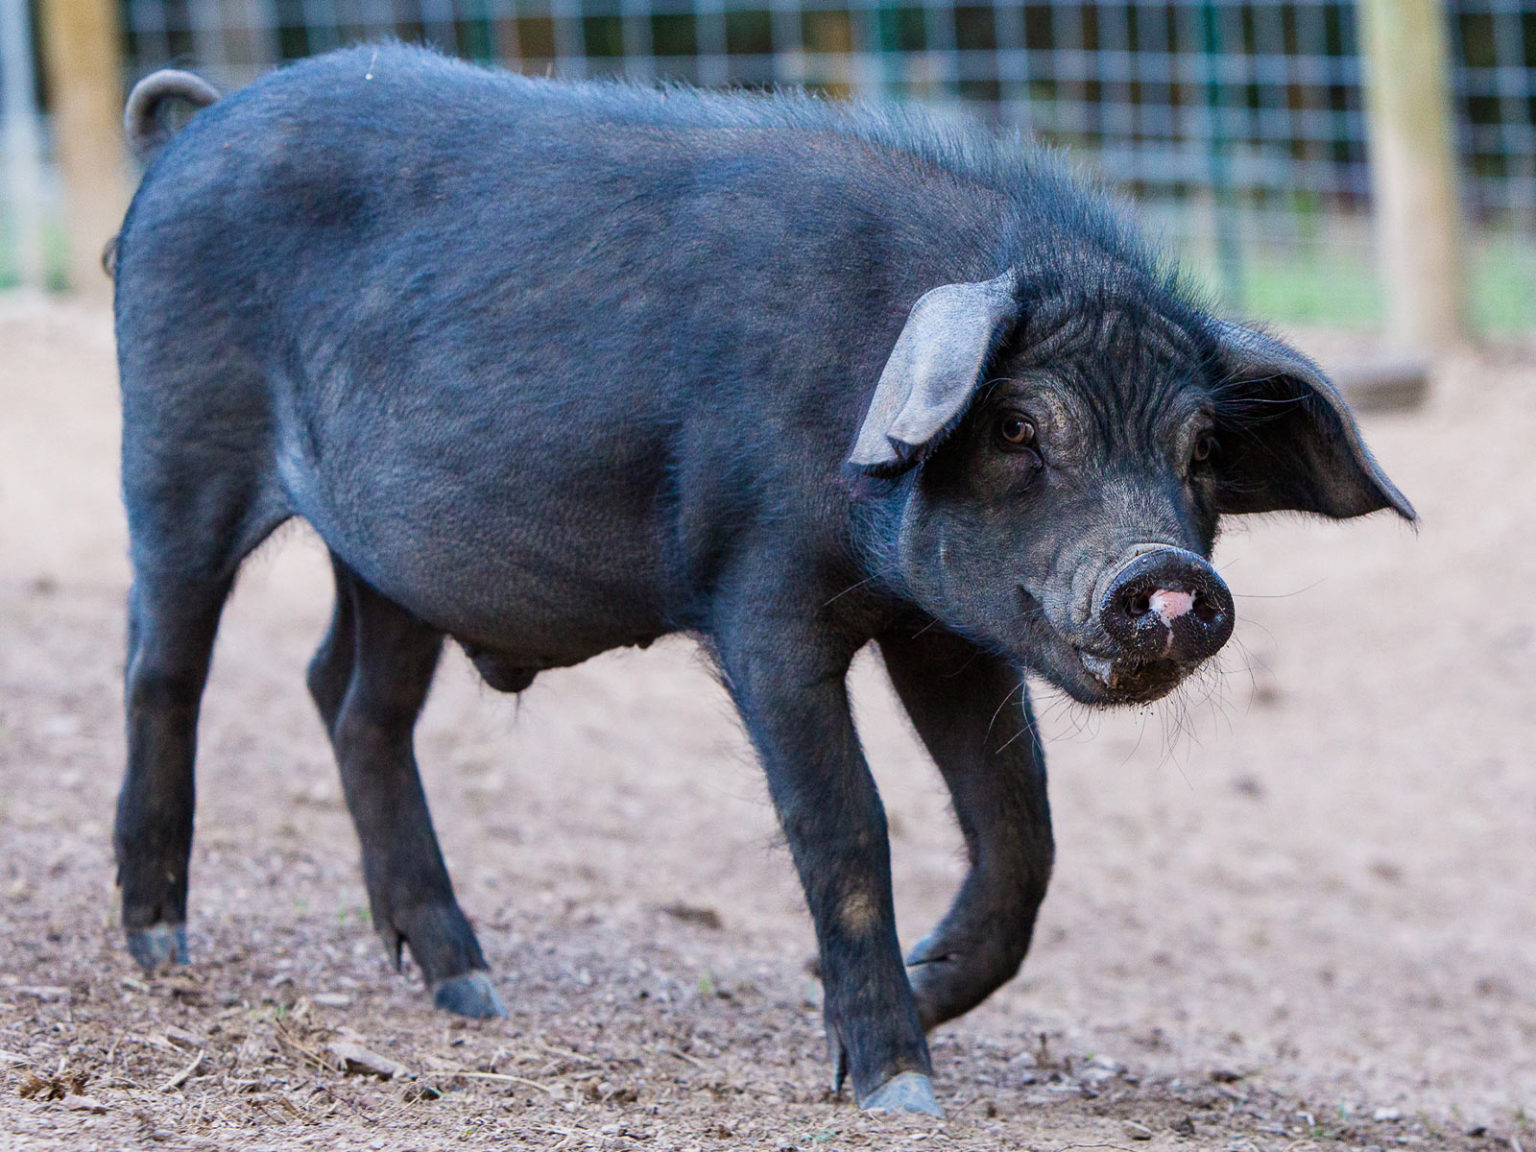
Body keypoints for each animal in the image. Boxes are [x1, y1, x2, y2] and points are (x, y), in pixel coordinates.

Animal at [111, 44, 1412, 1115]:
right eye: (1016, 427)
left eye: (1201, 452)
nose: (1168, 575)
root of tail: (198, 123)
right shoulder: (761, 602)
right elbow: (846, 824)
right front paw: (896, 1089)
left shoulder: (944, 631)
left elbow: (1023, 834)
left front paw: (911, 991)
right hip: (178, 442)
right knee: (164, 665)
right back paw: (160, 945)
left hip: (390, 563)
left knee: (351, 703)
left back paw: (468, 988)